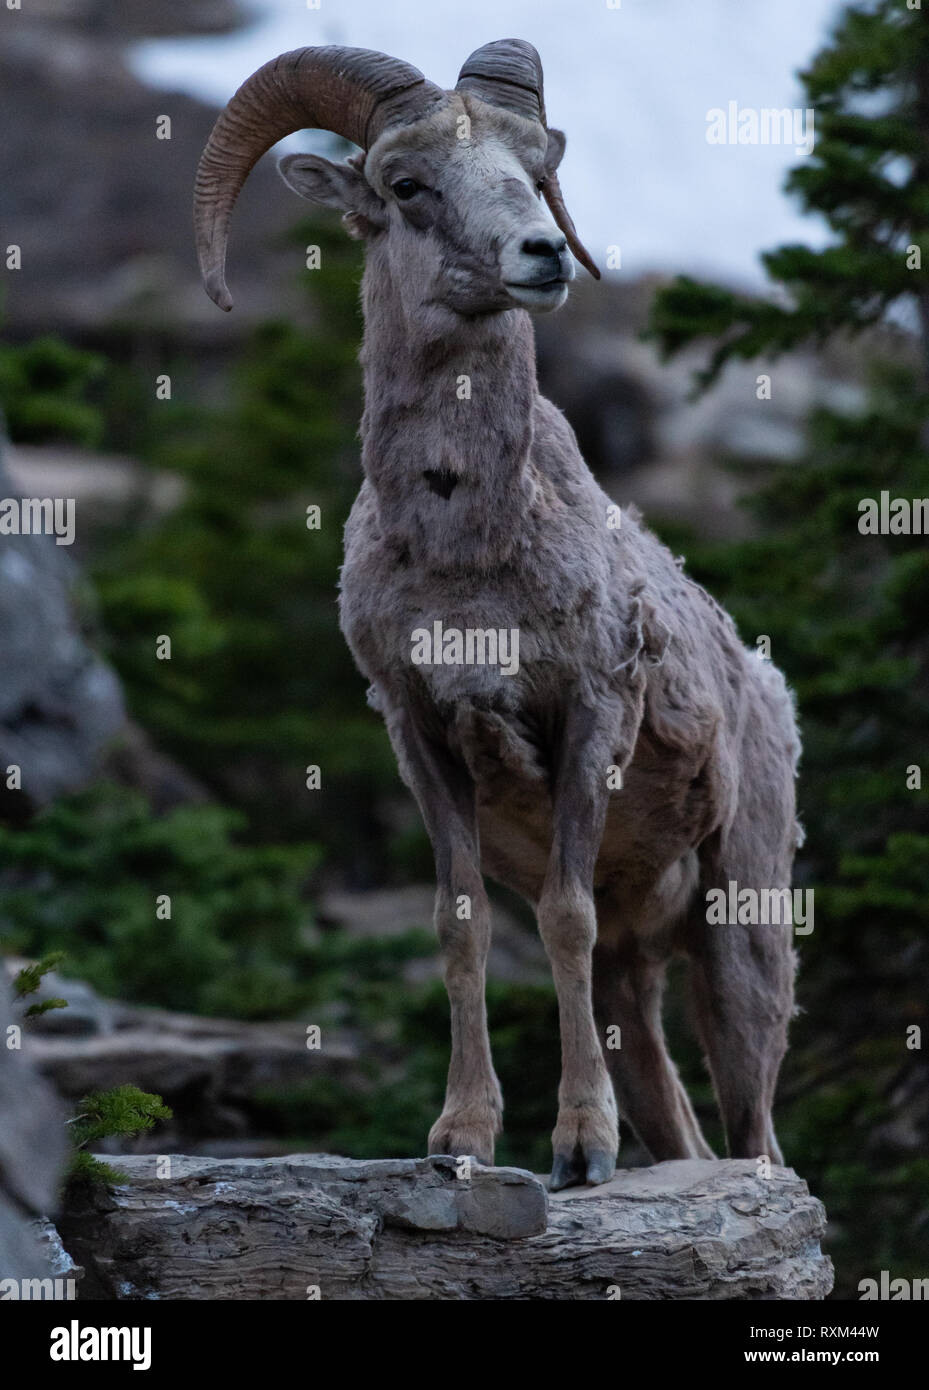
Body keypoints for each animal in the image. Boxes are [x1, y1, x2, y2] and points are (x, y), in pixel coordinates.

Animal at [194, 39, 800, 1189]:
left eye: (534, 164)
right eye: (405, 185)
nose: (542, 255)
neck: (466, 553)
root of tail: (768, 689)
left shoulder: (586, 719)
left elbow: (559, 917)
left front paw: (577, 1148)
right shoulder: (422, 733)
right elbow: (459, 925)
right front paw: (461, 1140)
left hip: (740, 939)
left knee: (755, 1130)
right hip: (640, 968)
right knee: (674, 1111)